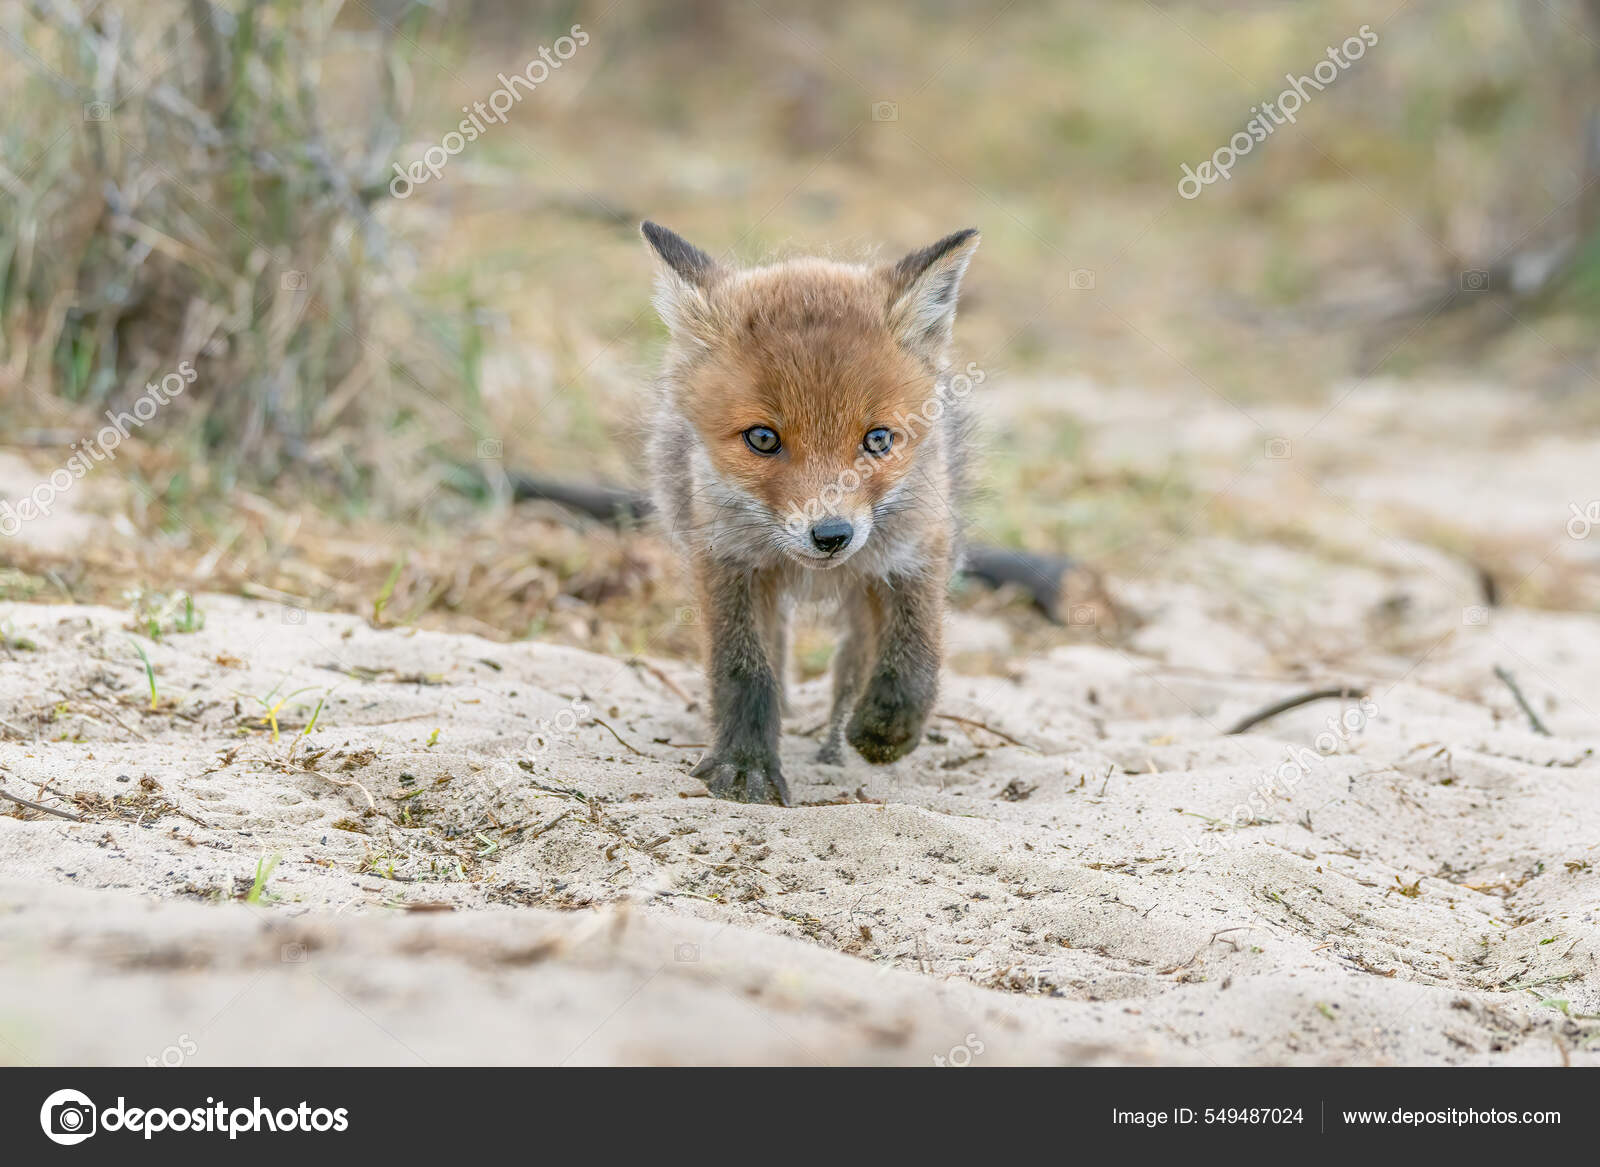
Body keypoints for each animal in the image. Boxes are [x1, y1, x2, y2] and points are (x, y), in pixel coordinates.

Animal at [641, 220, 981, 806]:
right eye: (762, 438)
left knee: (852, 667)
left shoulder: (915, 550)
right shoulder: (727, 560)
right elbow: (743, 670)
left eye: (878, 439)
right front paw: (746, 763)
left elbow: (916, 656)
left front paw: (888, 730)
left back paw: (837, 748)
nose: (832, 535)